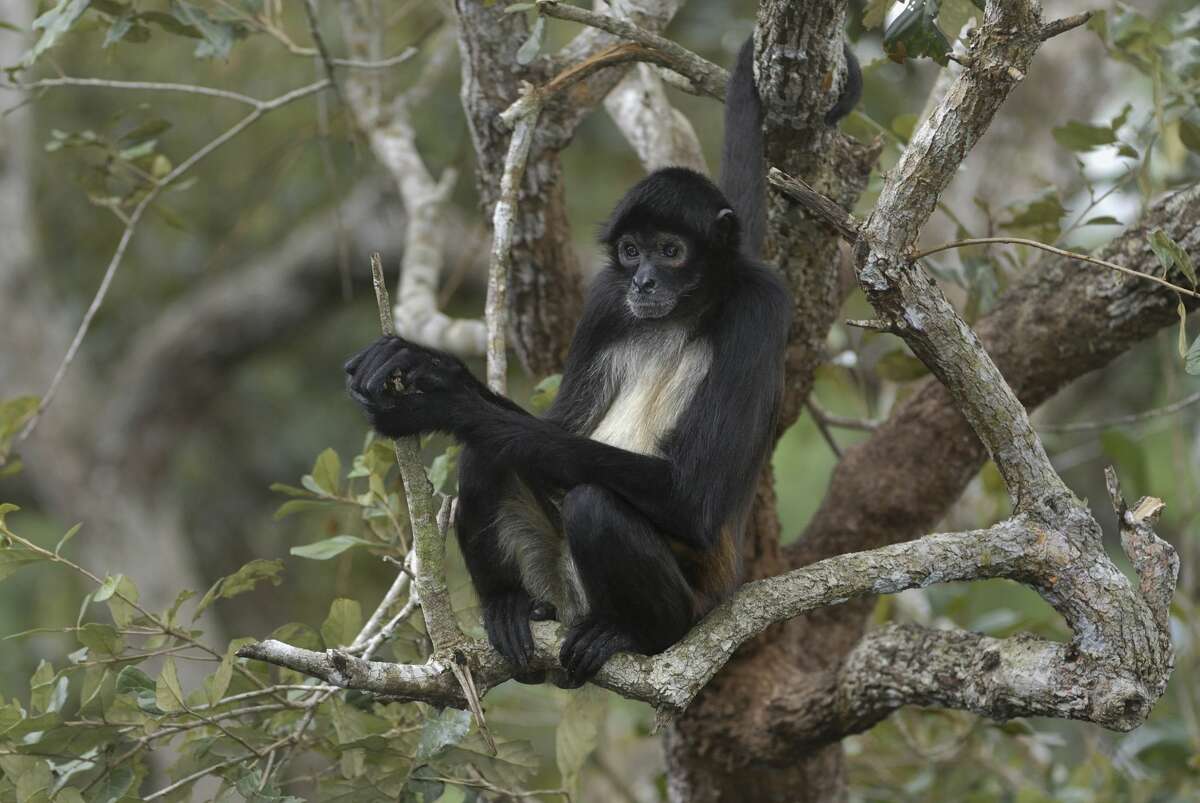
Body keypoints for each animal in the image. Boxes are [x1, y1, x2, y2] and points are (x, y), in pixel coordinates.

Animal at [345, 35, 862, 686]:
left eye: (671, 251)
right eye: (632, 251)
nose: (643, 281)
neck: (682, 314)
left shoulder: (759, 306)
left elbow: (693, 497)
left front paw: (447, 396)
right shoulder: (605, 303)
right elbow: (551, 429)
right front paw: (422, 369)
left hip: (693, 596)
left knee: (593, 504)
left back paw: (635, 633)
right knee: (488, 456)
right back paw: (511, 605)